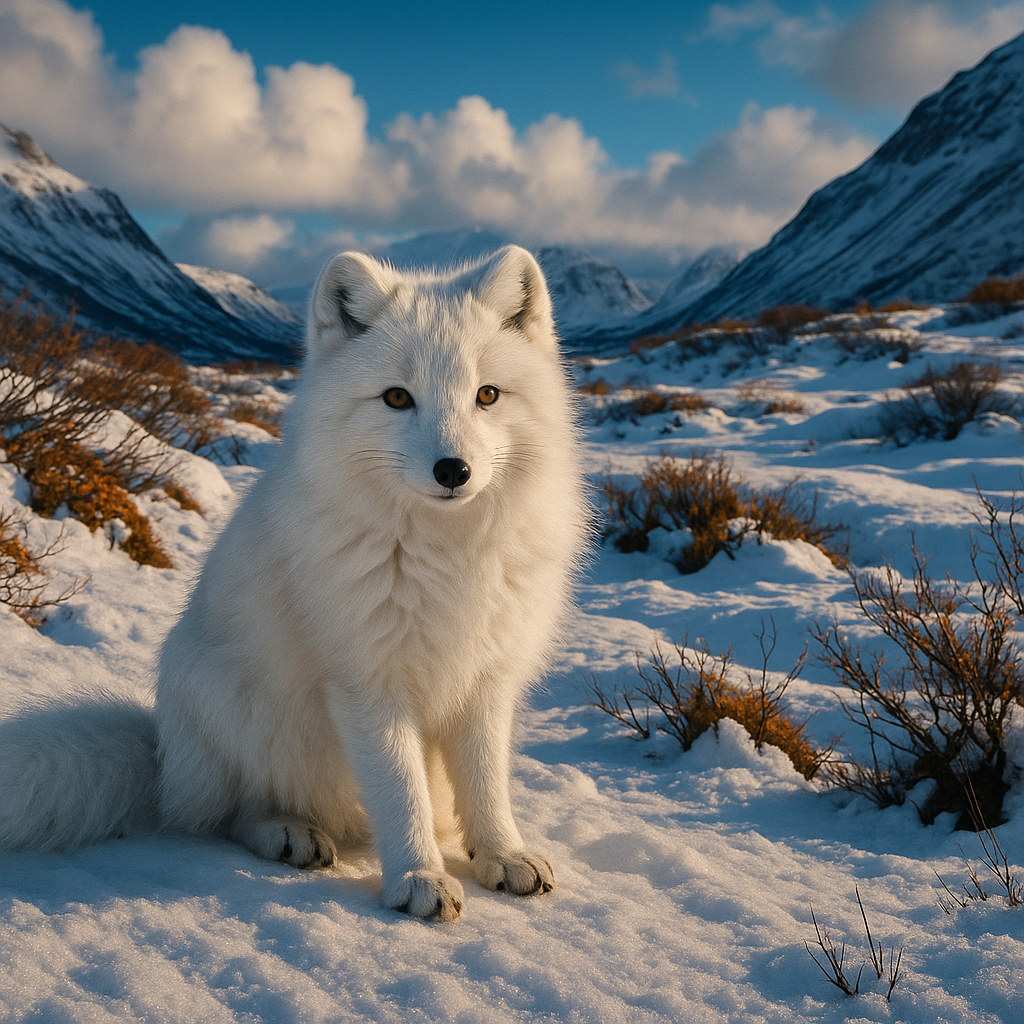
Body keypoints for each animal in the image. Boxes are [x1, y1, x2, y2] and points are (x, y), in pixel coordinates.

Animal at [0, 245, 589, 921]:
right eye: (397, 397)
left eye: (487, 394)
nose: (453, 470)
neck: (447, 553)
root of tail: (162, 757)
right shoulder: (367, 681)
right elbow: (401, 790)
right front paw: (418, 877)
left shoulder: (488, 675)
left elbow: (487, 782)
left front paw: (501, 854)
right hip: (234, 700)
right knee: (228, 813)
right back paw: (287, 832)